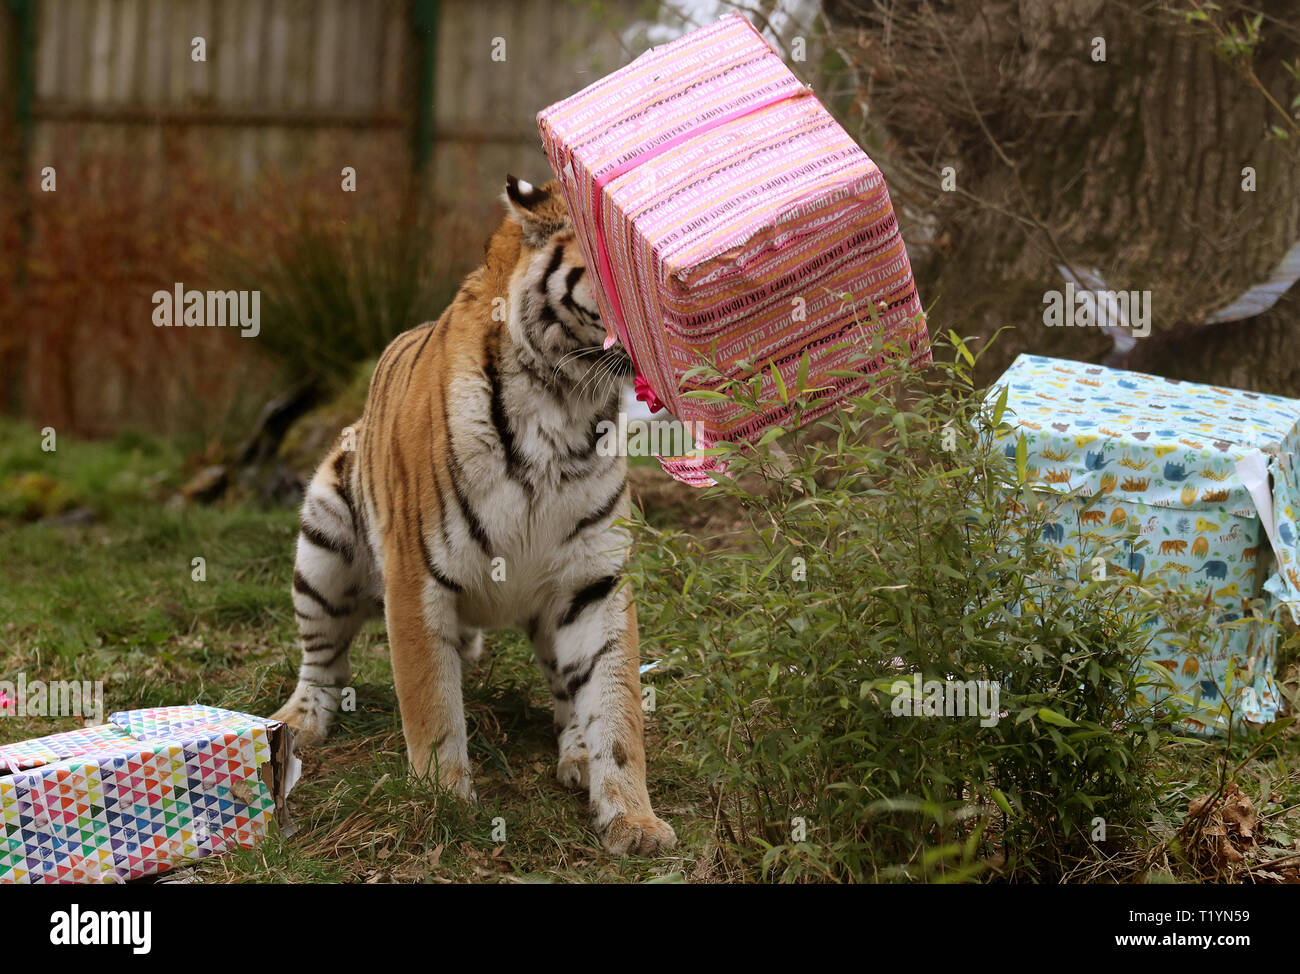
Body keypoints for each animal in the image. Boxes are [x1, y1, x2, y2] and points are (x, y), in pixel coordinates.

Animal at [271, 176, 676, 856]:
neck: (565, 400)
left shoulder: (593, 578)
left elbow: (615, 702)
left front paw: (634, 821)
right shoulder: (415, 576)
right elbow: (431, 702)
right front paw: (443, 803)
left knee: (567, 693)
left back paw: (576, 755)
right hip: (323, 541)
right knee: (324, 662)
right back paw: (297, 723)